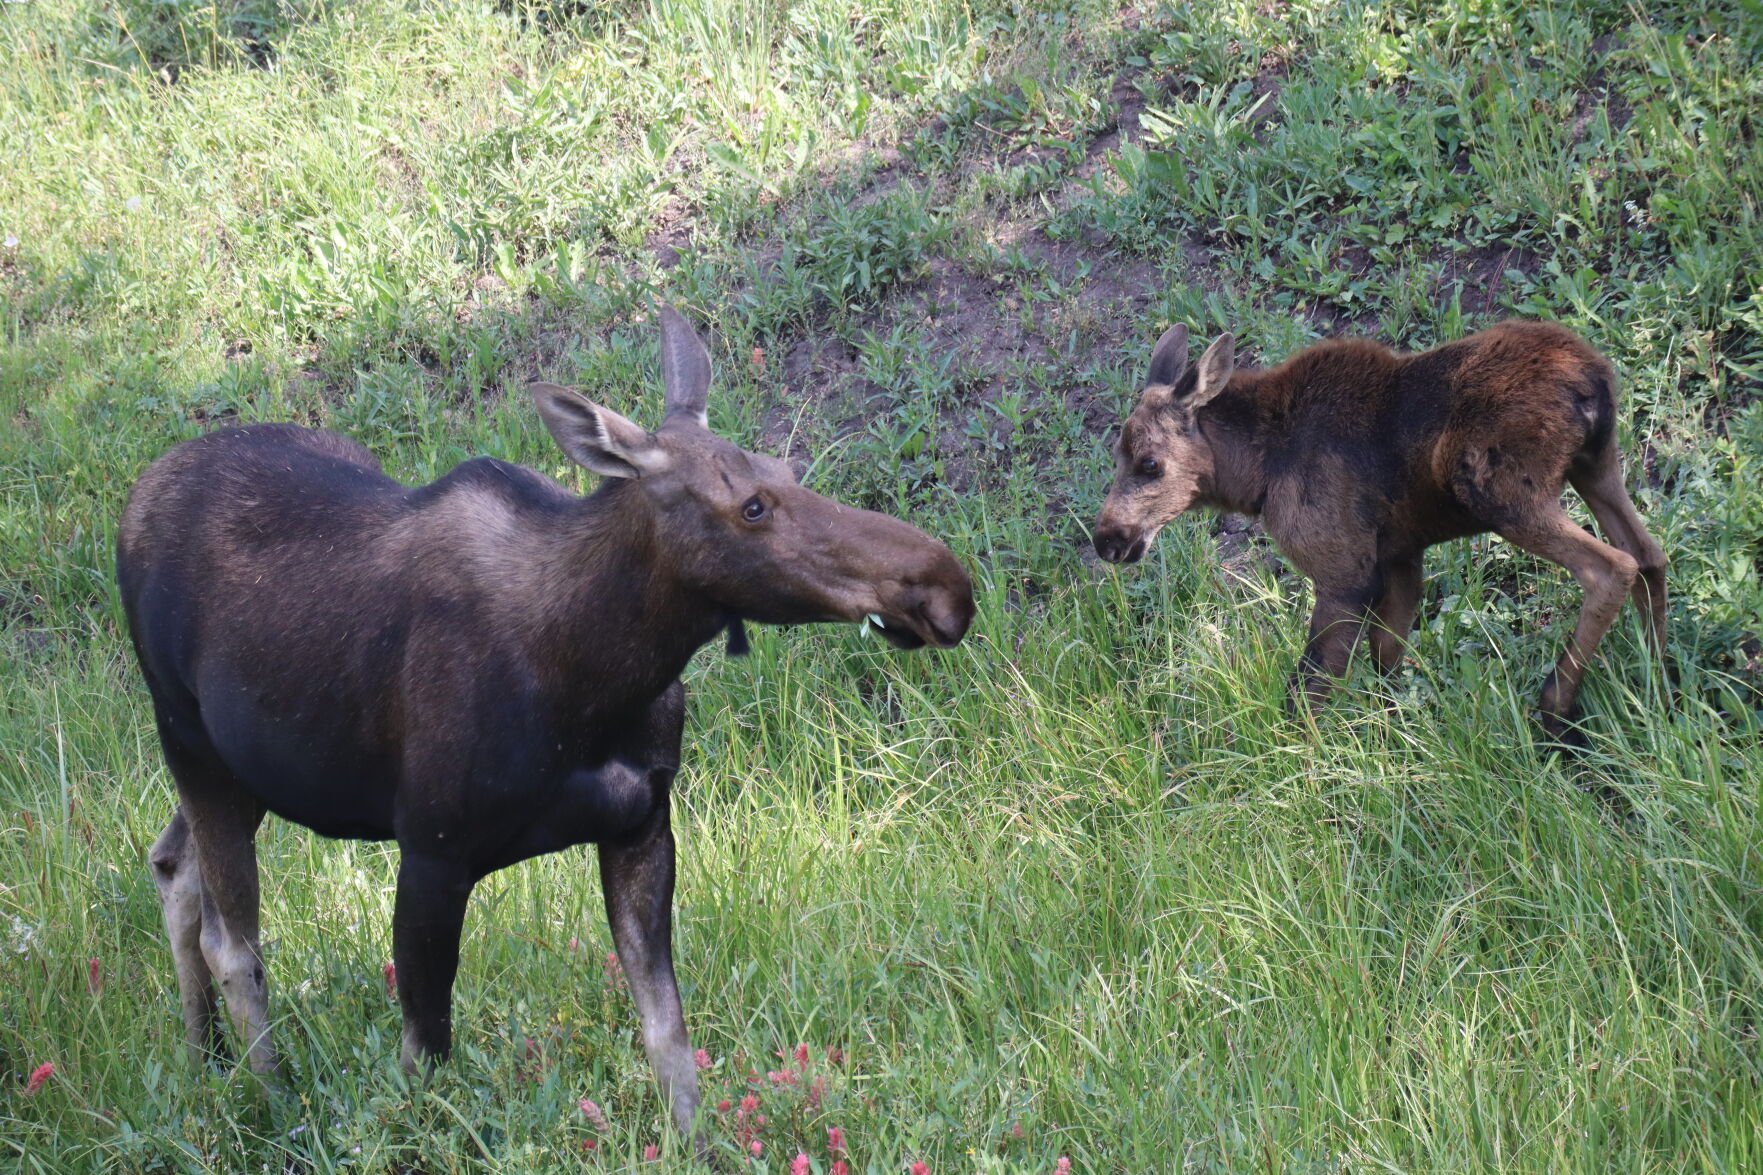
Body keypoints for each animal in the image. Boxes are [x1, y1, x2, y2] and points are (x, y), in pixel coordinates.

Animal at [116, 307, 974, 1148]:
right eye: (750, 506)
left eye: (788, 470)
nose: (944, 585)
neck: (594, 676)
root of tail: (135, 500)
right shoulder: (431, 848)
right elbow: (423, 1059)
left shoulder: (642, 825)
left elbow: (668, 1035)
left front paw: (696, 1146)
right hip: (187, 735)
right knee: (233, 938)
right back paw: (272, 1099)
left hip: (250, 765)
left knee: (171, 863)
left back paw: (203, 1059)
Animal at [1092, 319, 1667, 743]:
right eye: (1116, 456)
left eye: (1149, 464)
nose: (1107, 539)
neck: (1255, 471)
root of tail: (1593, 377)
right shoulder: (1400, 557)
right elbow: (1386, 666)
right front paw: (1393, 742)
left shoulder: (1345, 572)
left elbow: (1308, 690)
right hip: (1596, 466)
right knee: (1649, 552)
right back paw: (1657, 680)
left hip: (1505, 495)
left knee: (1611, 567)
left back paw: (1556, 710)